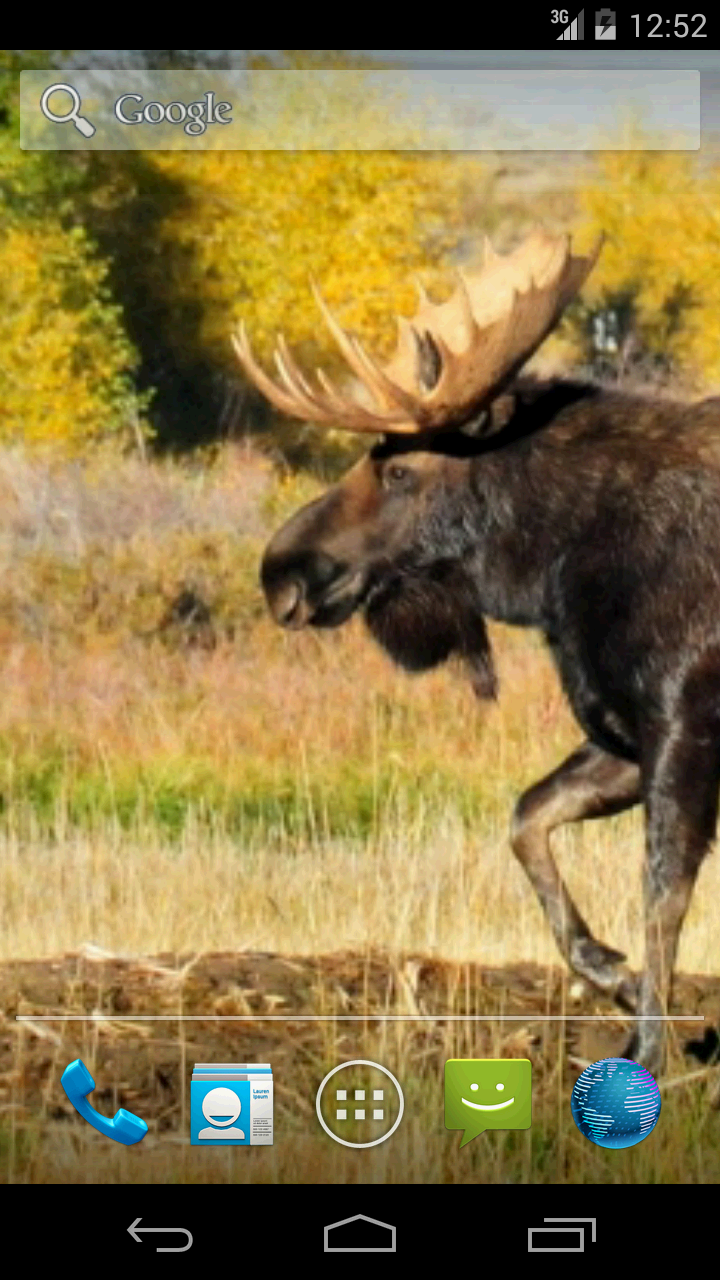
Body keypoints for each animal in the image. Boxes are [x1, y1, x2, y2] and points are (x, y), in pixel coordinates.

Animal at [233, 230, 720, 1074]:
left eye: (400, 469)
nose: (280, 573)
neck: (558, 568)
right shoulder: (621, 732)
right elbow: (527, 818)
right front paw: (613, 976)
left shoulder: (684, 727)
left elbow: (663, 894)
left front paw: (651, 1048)